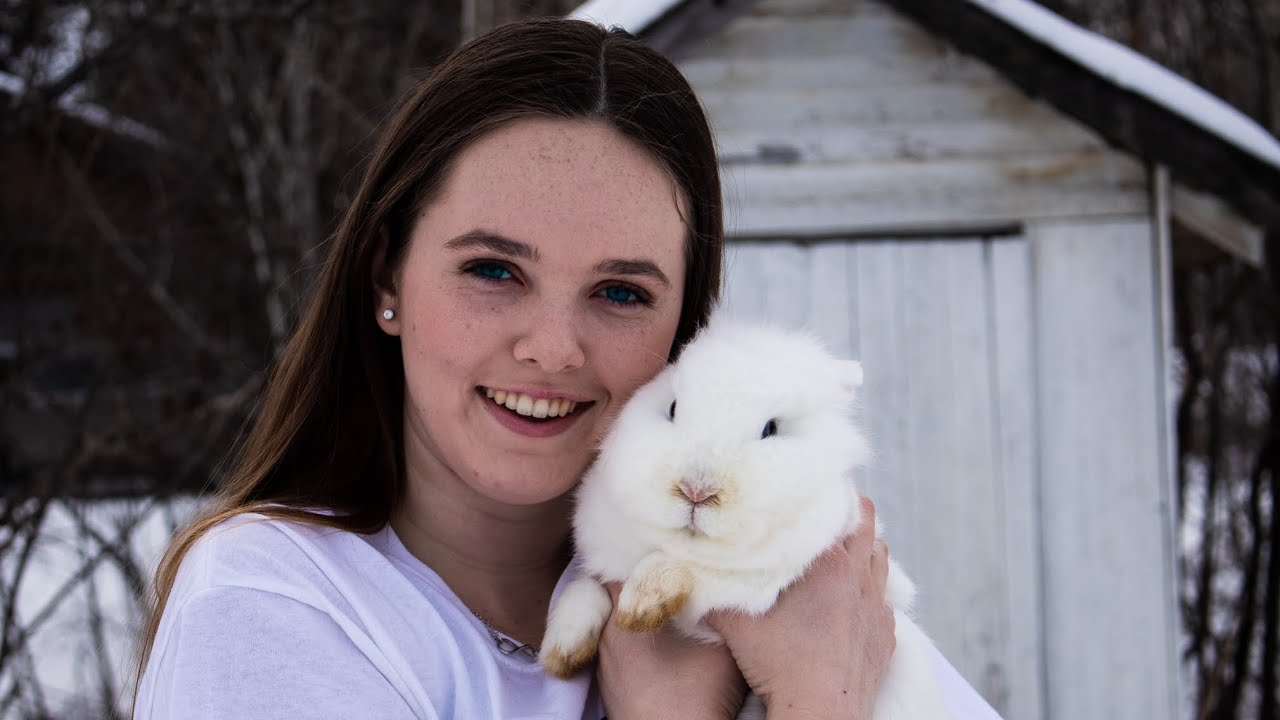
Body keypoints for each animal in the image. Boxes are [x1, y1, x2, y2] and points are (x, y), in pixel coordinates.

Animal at [540, 318, 949, 720]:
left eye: (771, 429)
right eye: (672, 408)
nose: (695, 490)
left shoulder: (758, 581)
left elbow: (690, 570)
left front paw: (642, 606)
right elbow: (586, 586)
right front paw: (562, 653)